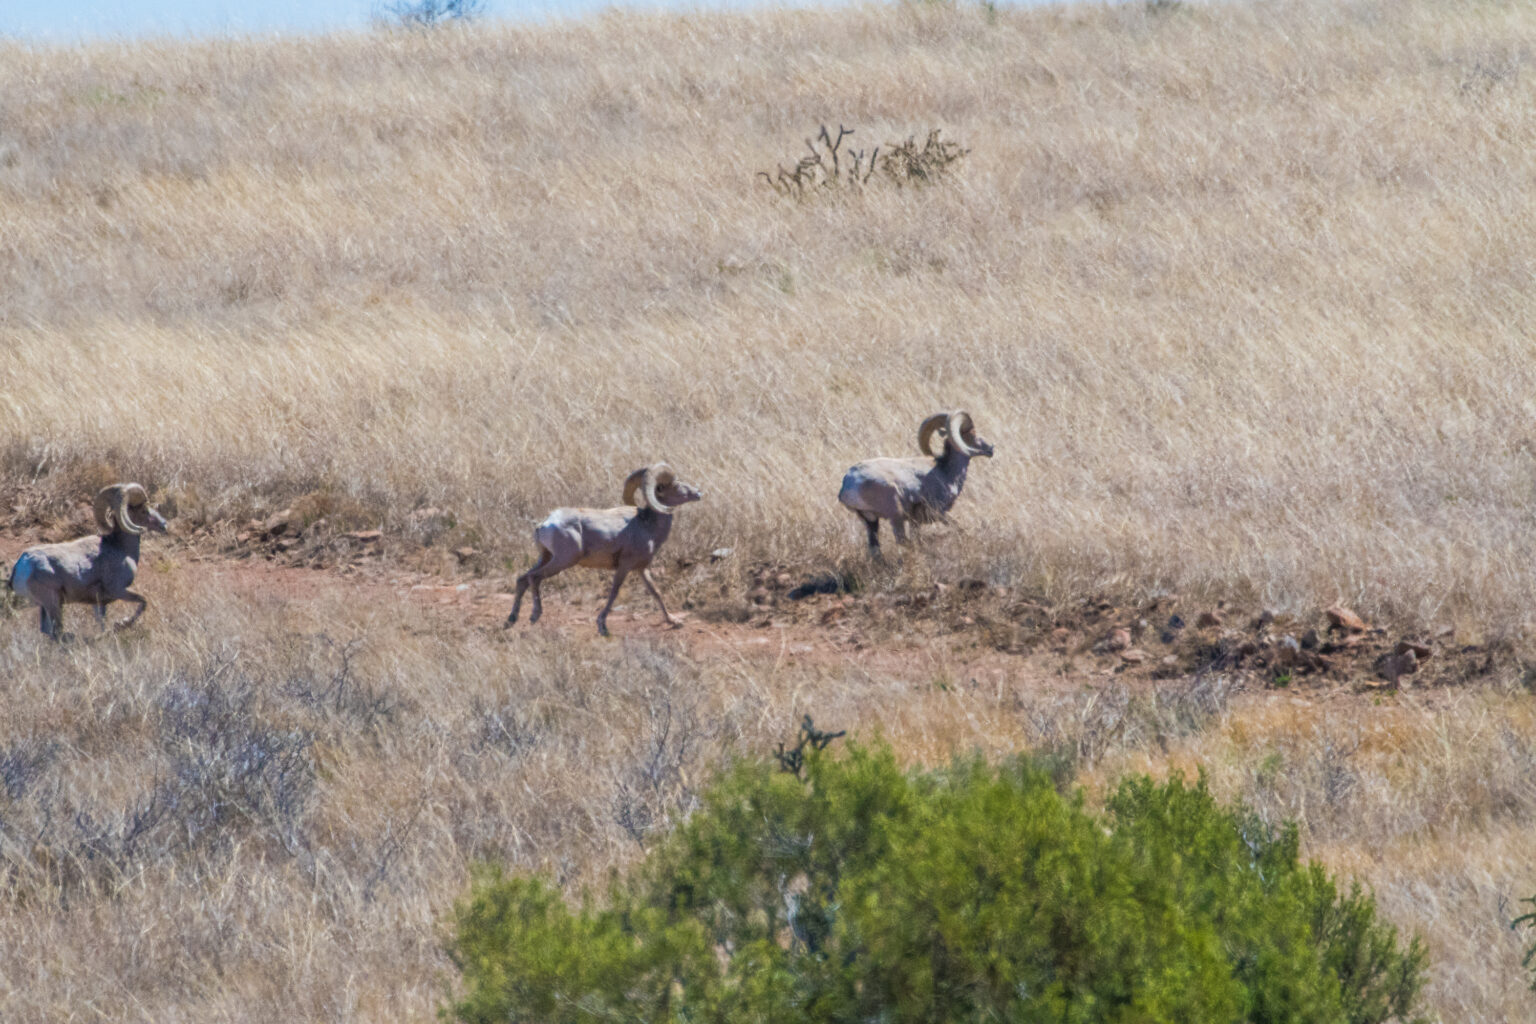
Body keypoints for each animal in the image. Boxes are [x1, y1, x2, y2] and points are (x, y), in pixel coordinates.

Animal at [7, 483, 168, 638]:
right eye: (144, 511)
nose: (164, 524)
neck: (120, 547)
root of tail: (22, 565)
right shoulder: (118, 590)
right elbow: (143, 601)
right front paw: (121, 624)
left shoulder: (99, 603)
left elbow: (102, 624)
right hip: (52, 603)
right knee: (56, 632)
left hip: (47, 606)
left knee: (47, 631)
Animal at [505, 463, 702, 637]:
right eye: (675, 485)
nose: (698, 493)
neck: (648, 525)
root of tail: (545, 524)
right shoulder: (624, 566)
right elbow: (614, 592)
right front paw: (603, 626)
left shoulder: (641, 568)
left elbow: (656, 592)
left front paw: (674, 621)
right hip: (562, 561)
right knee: (534, 578)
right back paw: (534, 616)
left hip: (546, 558)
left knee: (522, 579)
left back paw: (511, 619)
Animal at [838, 410, 994, 555]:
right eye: (972, 434)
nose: (990, 449)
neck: (944, 471)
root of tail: (849, 484)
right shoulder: (937, 513)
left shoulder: (915, 522)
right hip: (895, 517)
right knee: (902, 541)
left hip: (871, 521)